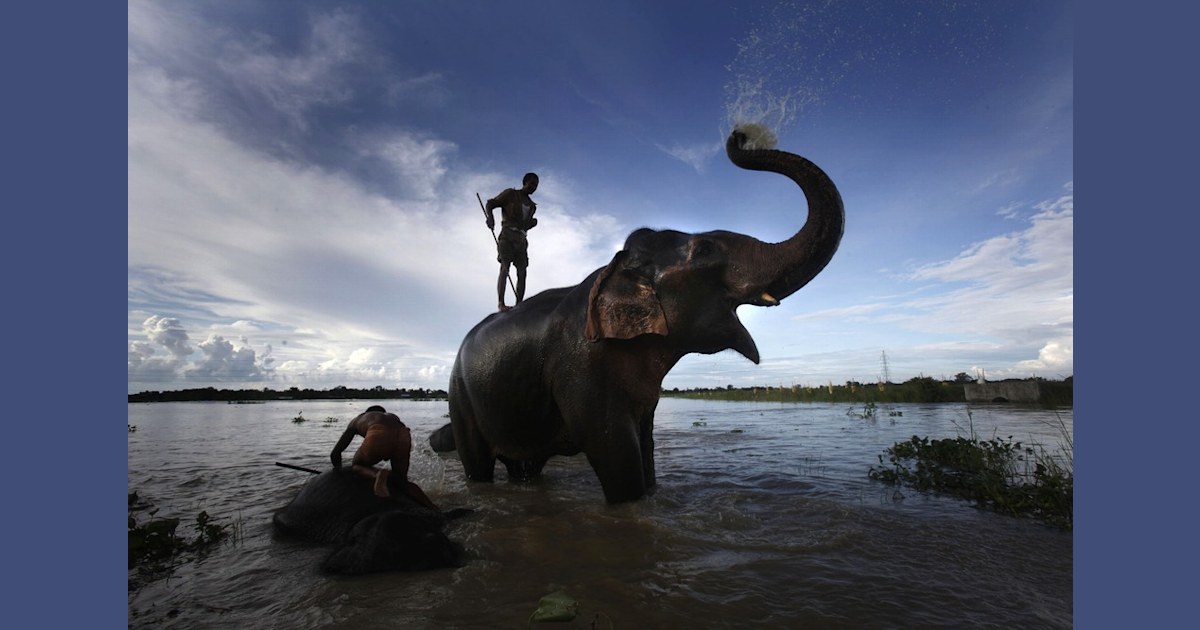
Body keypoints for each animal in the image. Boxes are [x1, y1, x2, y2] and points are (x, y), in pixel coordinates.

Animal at [440, 124, 845, 504]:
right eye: (706, 249)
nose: (741, 135)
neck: (613, 269)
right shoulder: (580, 368)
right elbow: (615, 456)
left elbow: (645, 446)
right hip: (460, 397)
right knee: (477, 462)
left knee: (525, 466)